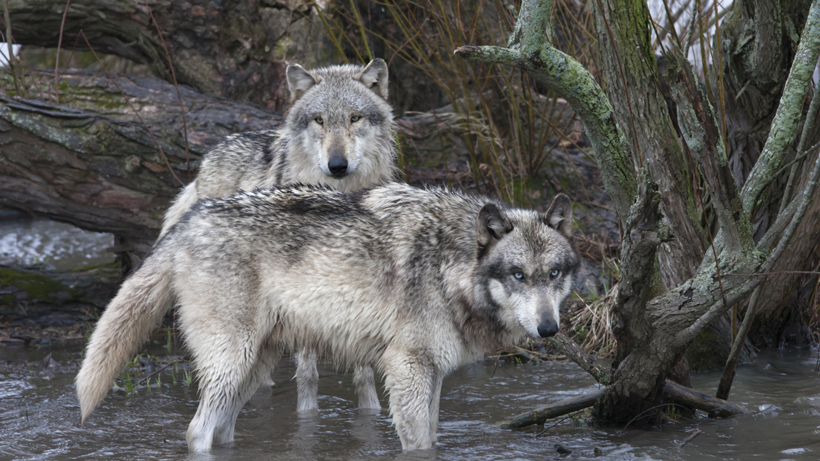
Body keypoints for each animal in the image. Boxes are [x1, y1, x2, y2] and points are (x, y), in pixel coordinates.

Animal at [76, 182, 579, 452]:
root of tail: (189, 221)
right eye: (518, 275)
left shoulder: (431, 373)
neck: (450, 264)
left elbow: (433, 435)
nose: (548, 328)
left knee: (220, 431)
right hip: (232, 363)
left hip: (252, 368)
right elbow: (419, 443)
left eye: (554, 274)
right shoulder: (407, 369)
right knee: (197, 431)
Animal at [159, 59, 396, 413]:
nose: (337, 165)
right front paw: (306, 415)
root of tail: (212, 152)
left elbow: (365, 373)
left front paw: (371, 413)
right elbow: (308, 374)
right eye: (319, 120)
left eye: (355, 118)